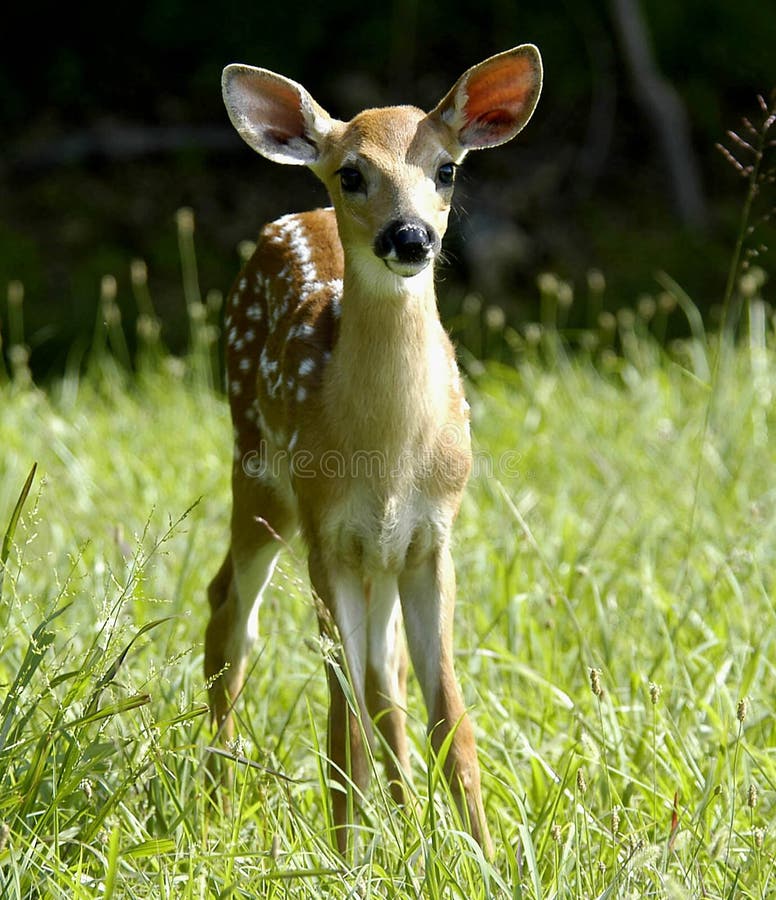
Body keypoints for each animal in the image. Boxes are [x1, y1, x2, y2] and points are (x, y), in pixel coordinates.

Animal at [205, 45, 543, 857]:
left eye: (447, 168)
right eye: (352, 172)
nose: (410, 236)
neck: (387, 456)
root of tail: (292, 216)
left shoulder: (431, 536)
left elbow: (447, 713)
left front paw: (482, 858)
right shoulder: (327, 533)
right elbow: (343, 712)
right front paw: (347, 855)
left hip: (376, 555)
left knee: (386, 675)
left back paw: (400, 817)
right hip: (257, 475)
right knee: (230, 612)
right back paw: (213, 808)